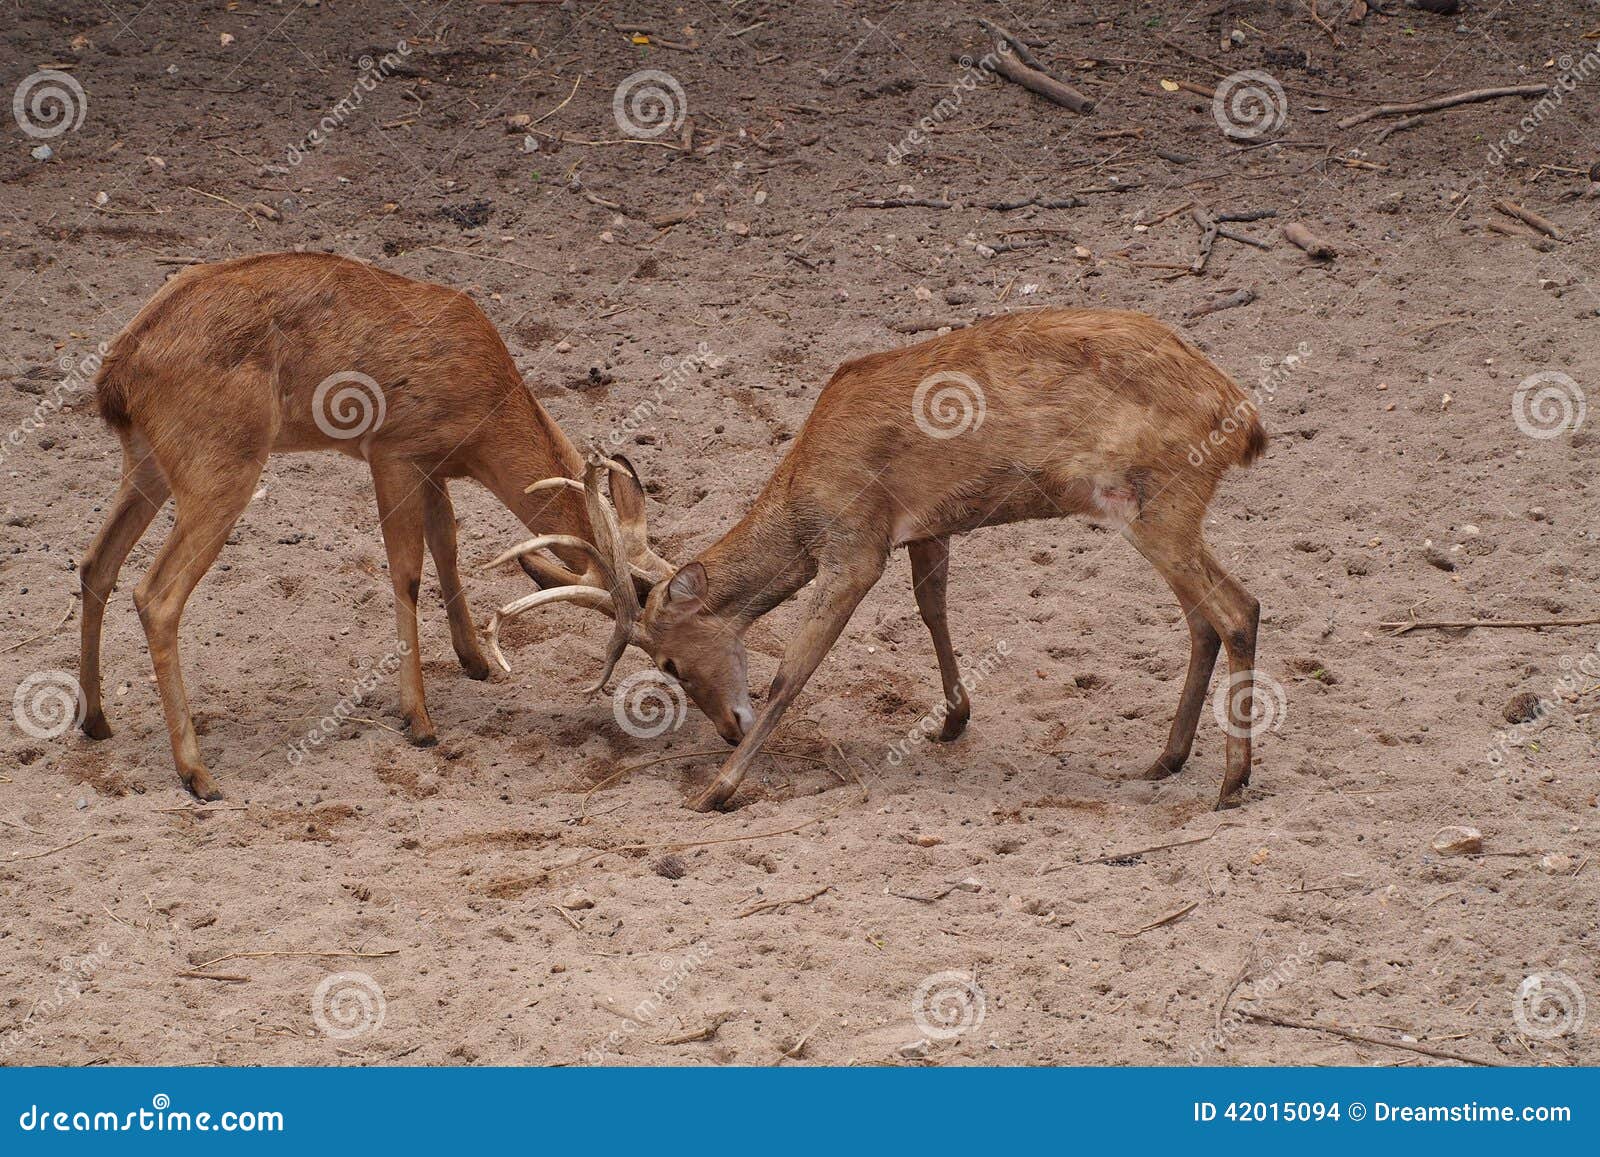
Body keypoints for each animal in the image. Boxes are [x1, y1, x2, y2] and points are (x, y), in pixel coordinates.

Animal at [81, 252, 673, 800]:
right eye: (658, 648)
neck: (482, 415)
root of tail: (117, 377)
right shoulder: (394, 451)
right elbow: (406, 573)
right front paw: (420, 721)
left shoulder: (433, 465)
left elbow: (447, 545)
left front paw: (475, 661)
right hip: (221, 467)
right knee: (156, 594)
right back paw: (197, 774)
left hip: (147, 464)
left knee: (95, 564)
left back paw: (95, 720)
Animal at [488, 308, 1267, 812]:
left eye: (670, 663)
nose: (728, 728)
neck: (803, 492)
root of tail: (1245, 420)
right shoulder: (924, 526)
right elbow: (932, 606)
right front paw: (954, 719)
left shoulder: (854, 544)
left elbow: (792, 668)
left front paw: (718, 789)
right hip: (1161, 512)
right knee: (1212, 614)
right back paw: (1167, 758)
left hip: (1153, 502)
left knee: (1237, 609)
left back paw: (1230, 783)